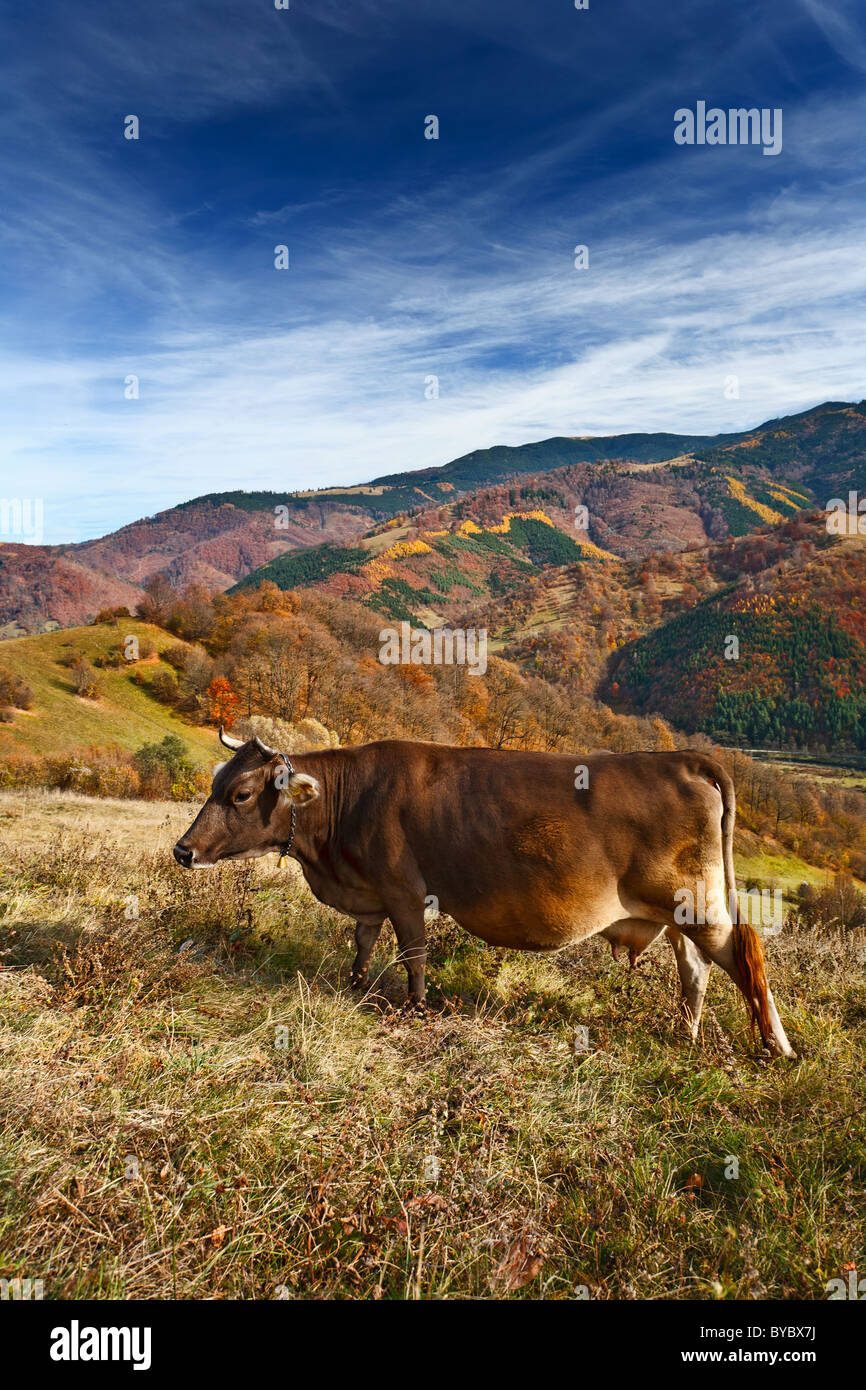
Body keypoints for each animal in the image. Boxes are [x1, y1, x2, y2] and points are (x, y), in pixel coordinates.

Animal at [173, 732, 796, 1058]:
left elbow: (415, 955)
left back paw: (777, 1047)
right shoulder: (369, 894)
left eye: (240, 792)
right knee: (696, 972)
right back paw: (684, 1035)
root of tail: (683, 758)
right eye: (216, 781)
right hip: (681, 914)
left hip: (702, 906)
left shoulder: (405, 892)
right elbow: (363, 945)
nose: (183, 850)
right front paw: (356, 988)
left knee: (747, 959)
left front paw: (417, 1008)